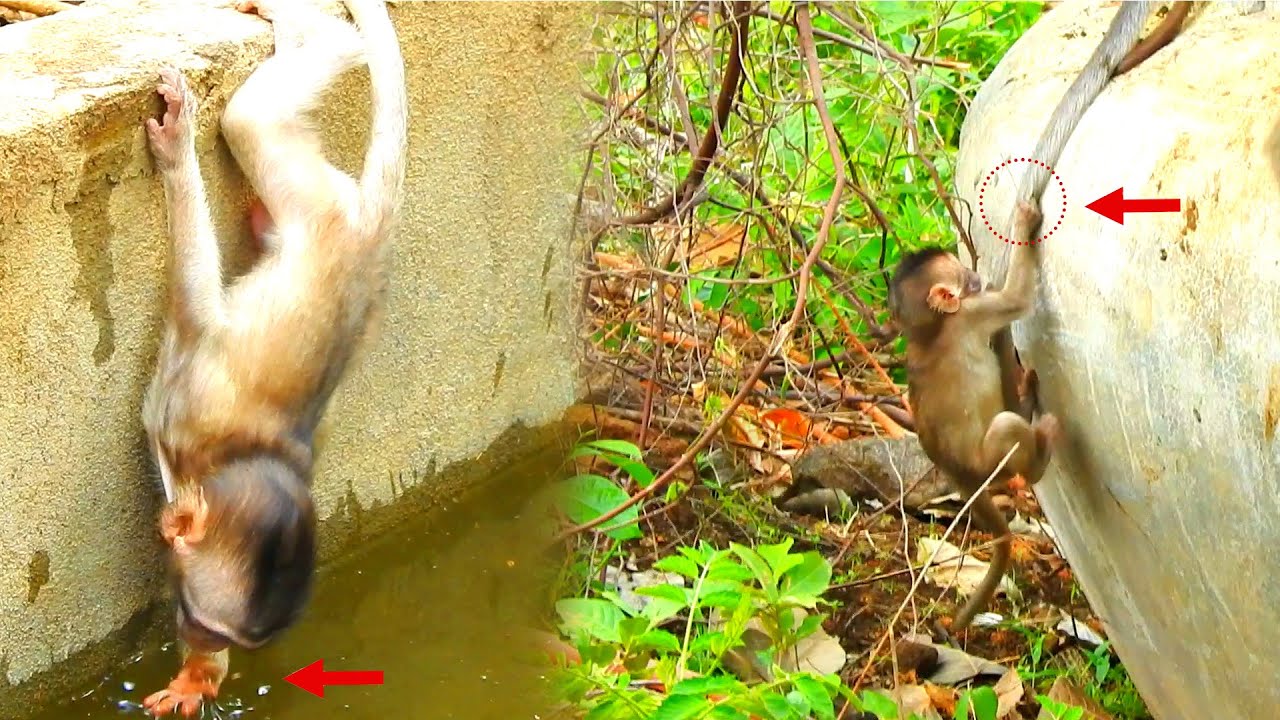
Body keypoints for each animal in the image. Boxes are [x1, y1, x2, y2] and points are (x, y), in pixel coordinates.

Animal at [138, 0, 406, 715]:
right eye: (194, 614)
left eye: (212, 629)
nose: (202, 643)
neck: (224, 461)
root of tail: (369, 235)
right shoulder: (182, 398)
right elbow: (196, 305)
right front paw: (177, 155)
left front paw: (198, 679)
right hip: (322, 211)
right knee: (250, 118)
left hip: (323, 212)